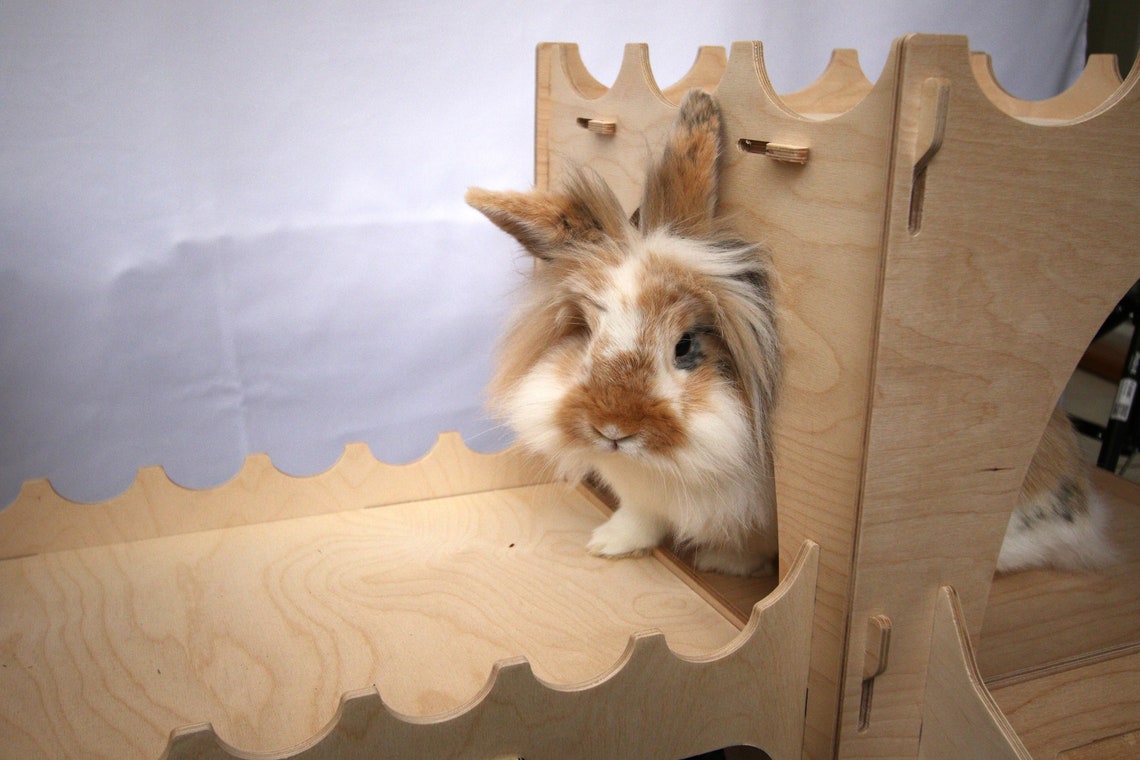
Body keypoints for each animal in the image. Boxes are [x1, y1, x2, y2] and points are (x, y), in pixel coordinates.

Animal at [466, 89, 780, 576]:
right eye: (586, 333)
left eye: (685, 346)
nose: (613, 429)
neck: (658, 466)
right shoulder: (641, 498)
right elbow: (640, 518)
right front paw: (609, 544)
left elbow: (751, 542)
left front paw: (725, 562)